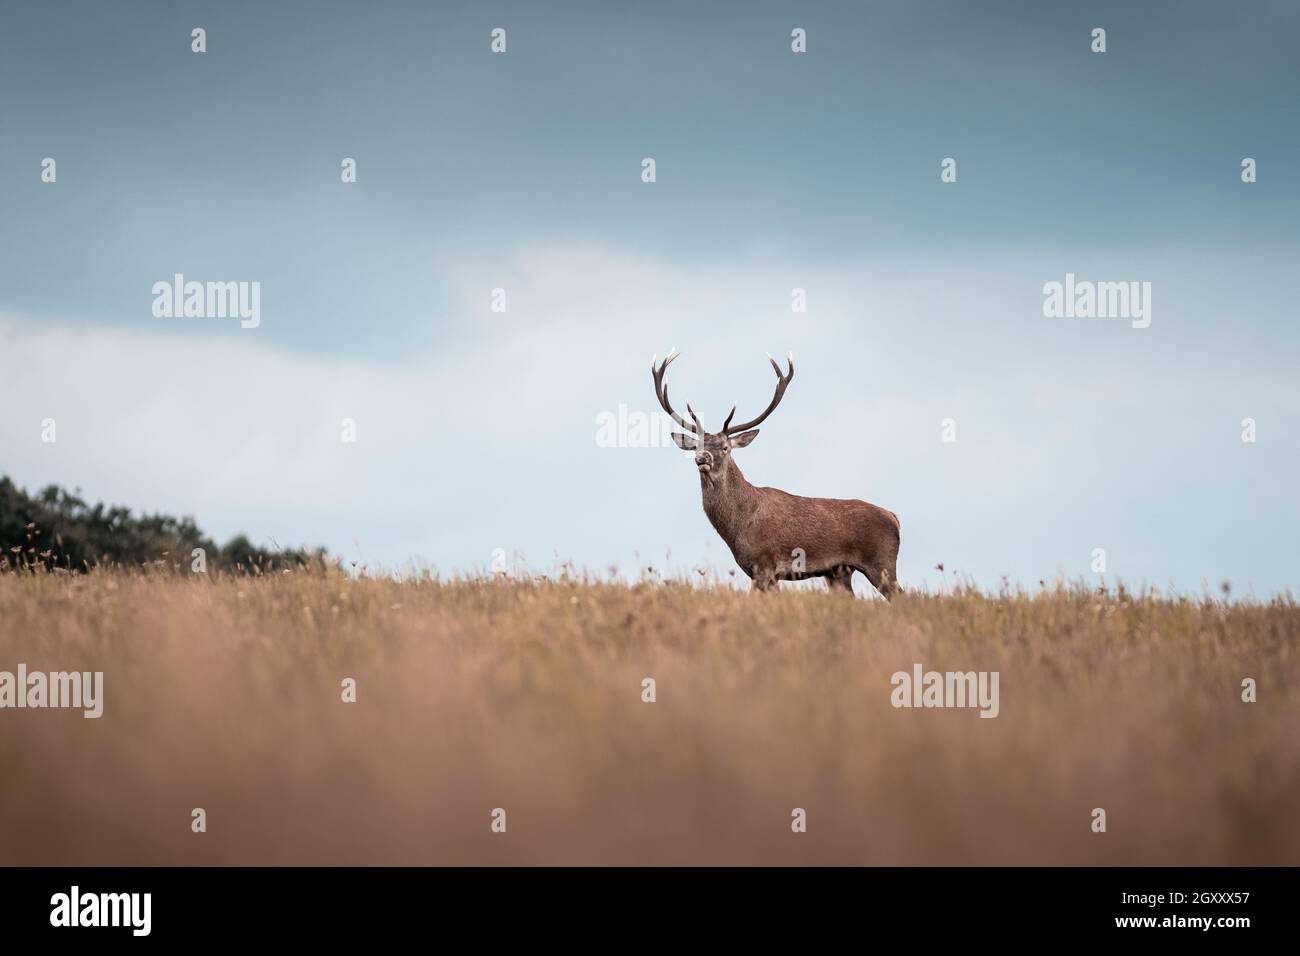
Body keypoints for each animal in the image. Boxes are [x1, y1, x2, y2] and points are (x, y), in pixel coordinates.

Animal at [652, 349, 901, 598]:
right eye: (696, 446)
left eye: (724, 447)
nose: (702, 458)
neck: (740, 526)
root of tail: (894, 517)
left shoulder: (765, 564)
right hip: (839, 572)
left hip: (882, 562)